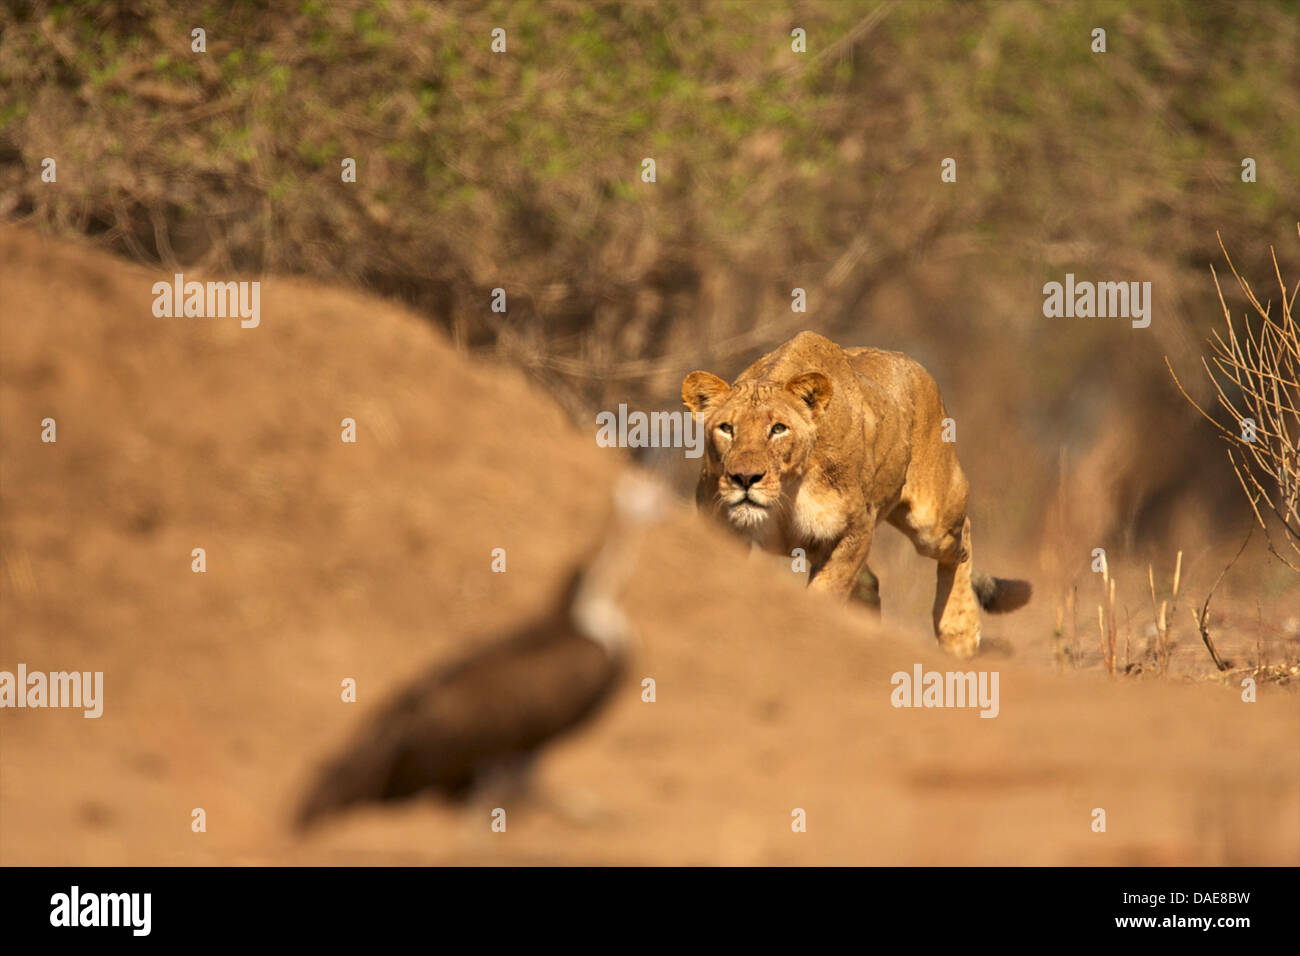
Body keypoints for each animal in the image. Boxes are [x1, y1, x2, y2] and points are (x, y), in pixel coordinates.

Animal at [682, 330, 1030, 657]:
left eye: (778, 429)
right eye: (727, 429)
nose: (744, 478)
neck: (787, 490)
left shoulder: (856, 528)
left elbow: (826, 590)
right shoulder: (722, 530)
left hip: (932, 521)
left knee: (962, 540)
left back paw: (959, 632)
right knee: (872, 583)